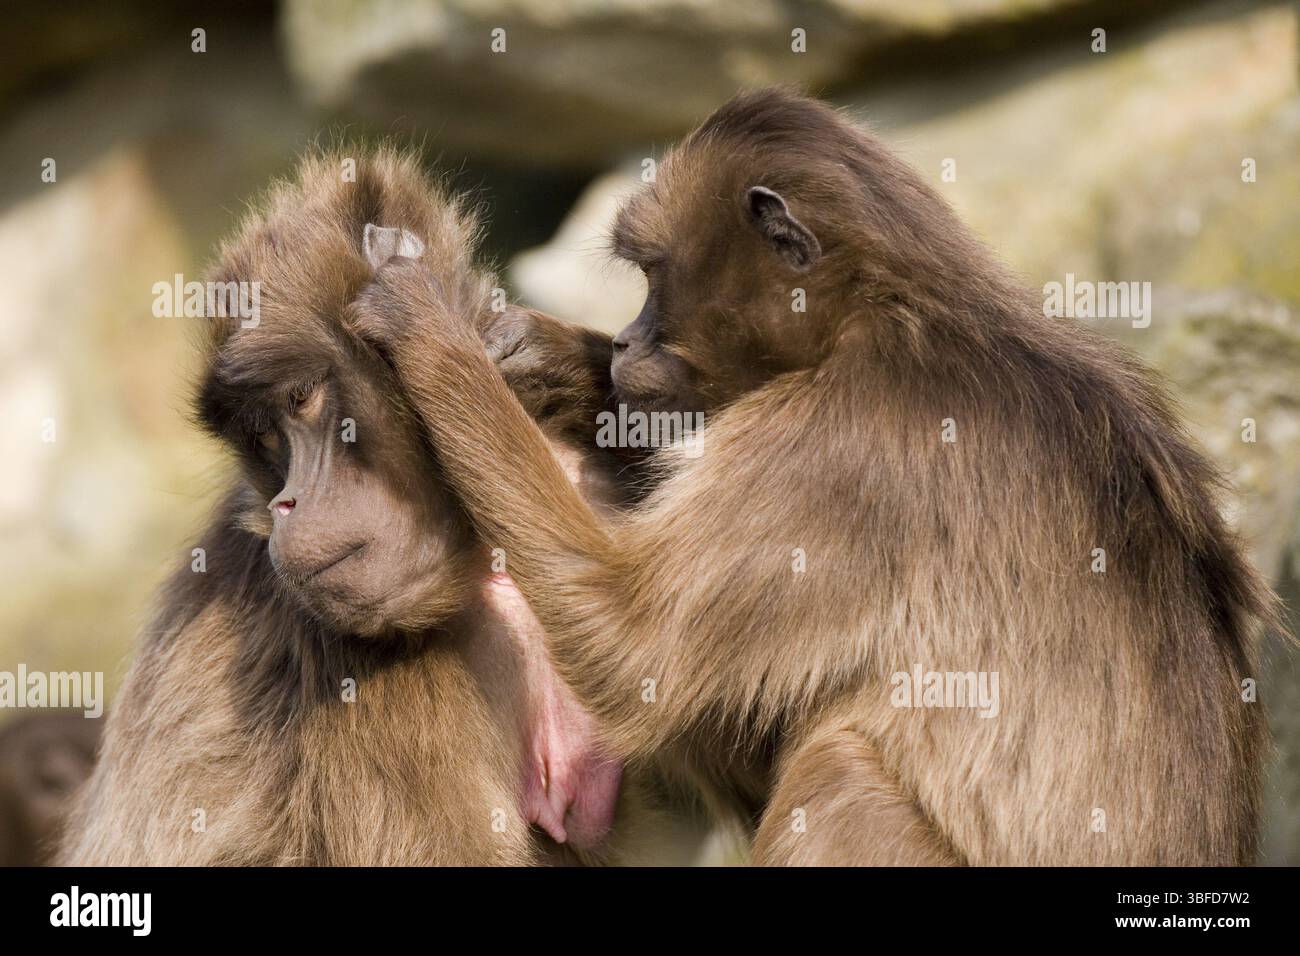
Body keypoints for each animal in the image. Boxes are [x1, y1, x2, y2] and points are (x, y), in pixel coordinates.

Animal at [349, 88, 1276, 865]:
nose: (625, 342)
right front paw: (541, 359)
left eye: (652, 275)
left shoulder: (842, 449)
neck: (882, 312)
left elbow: (629, 646)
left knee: (840, 771)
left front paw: (430, 327)